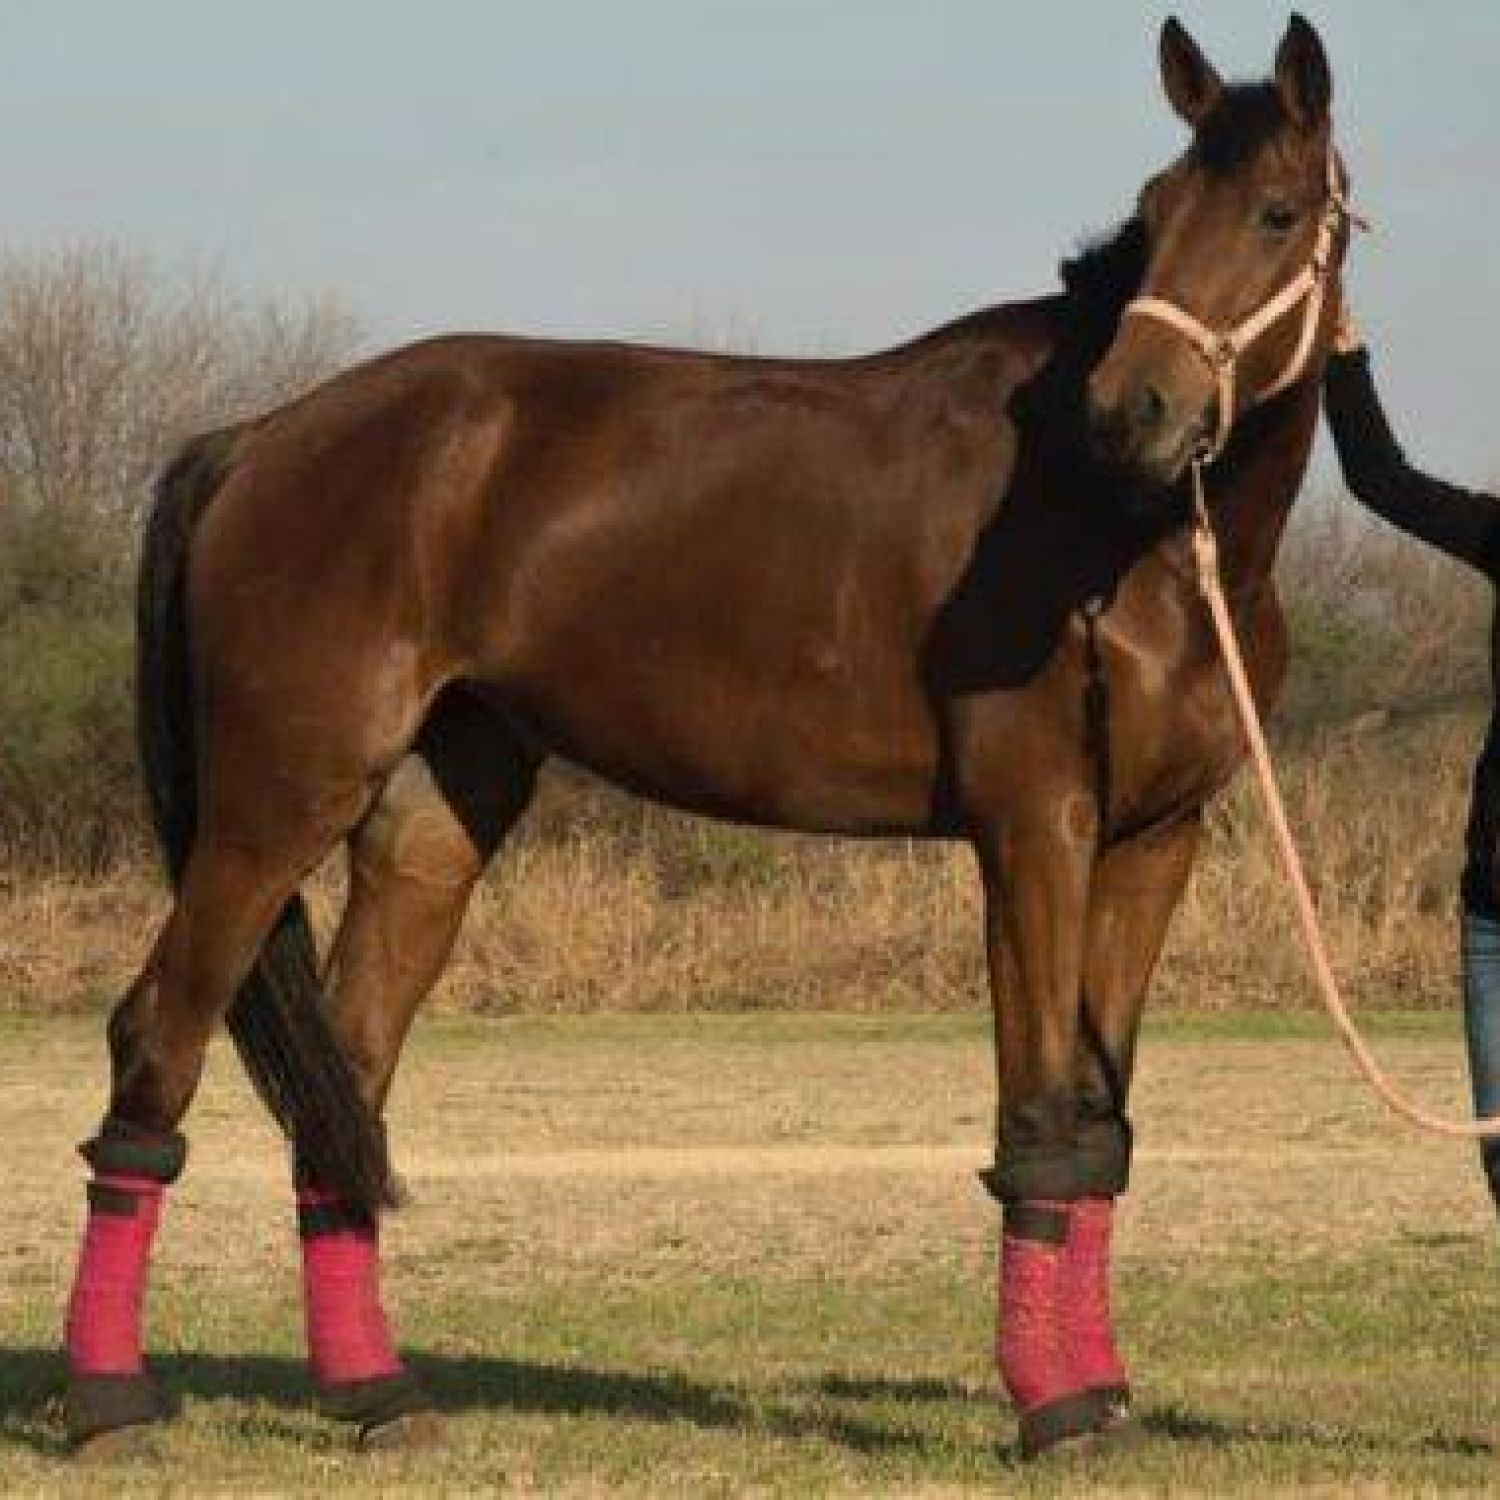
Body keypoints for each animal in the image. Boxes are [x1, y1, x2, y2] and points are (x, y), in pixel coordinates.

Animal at [63, 14, 1351, 1462]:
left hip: (429, 819)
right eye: (1155, 208)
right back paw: (109, 1404)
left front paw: (1101, 1395)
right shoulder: (1035, 831)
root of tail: (258, 438)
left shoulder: (1152, 843)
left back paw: (378, 1396)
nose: (1133, 411)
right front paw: (1061, 1405)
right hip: (273, 808)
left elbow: (1100, 1126)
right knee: (159, 1040)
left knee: (347, 1083)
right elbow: (1038, 1112)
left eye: (1276, 211)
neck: (1121, 537)